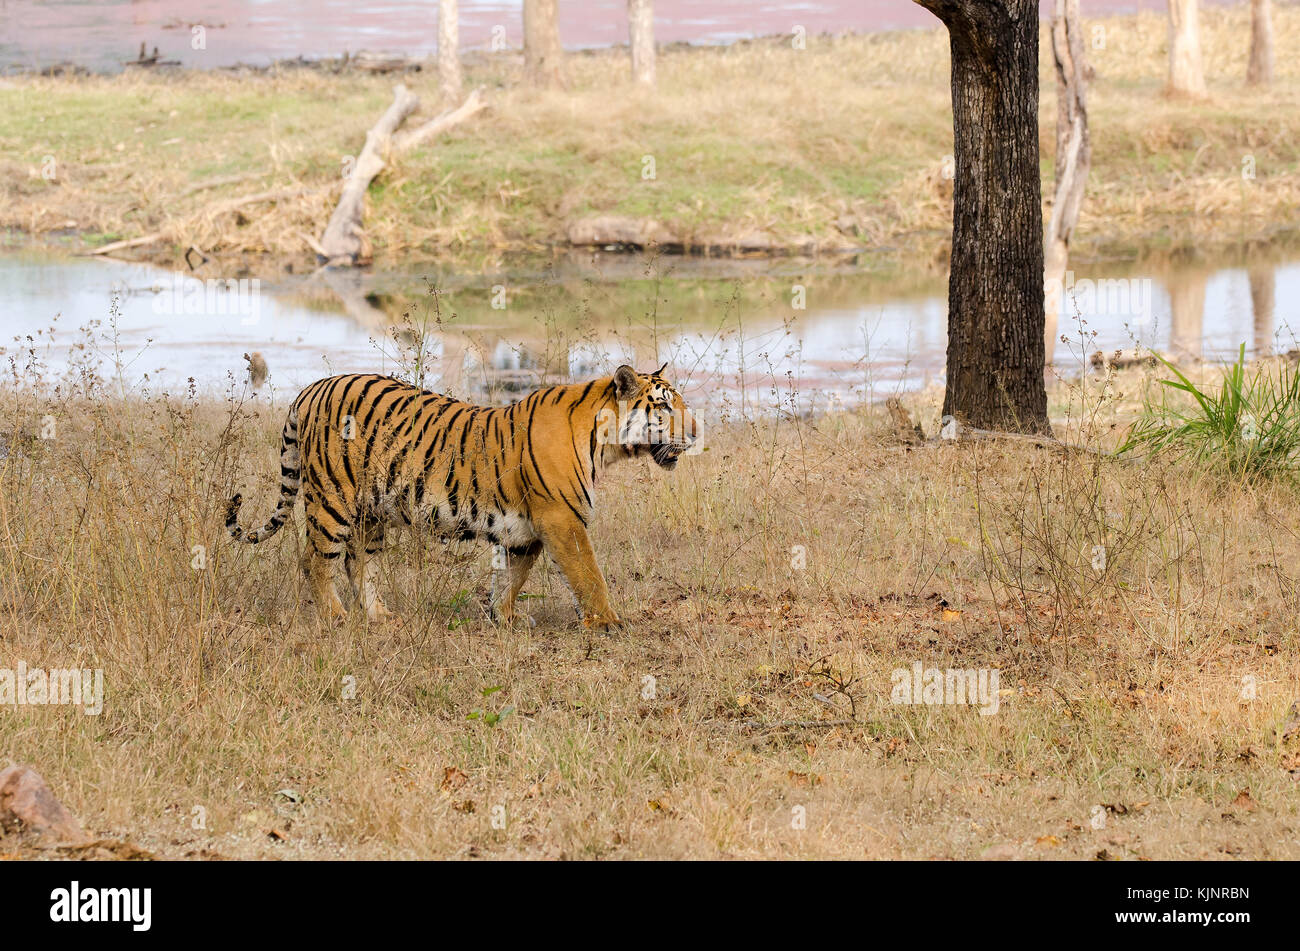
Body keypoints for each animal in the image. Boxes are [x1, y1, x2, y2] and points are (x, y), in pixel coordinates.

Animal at [226, 364, 697, 630]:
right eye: (664, 406)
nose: (695, 433)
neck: (606, 444)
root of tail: (311, 388)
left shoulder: (524, 531)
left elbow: (510, 578)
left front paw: (503, 618)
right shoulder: (563, 520)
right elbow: (589, 576)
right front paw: (607, 623)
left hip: (370, 513)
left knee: (357, 563)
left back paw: (379, 617)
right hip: (331, 500)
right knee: (314, 560)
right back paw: (336, 618)